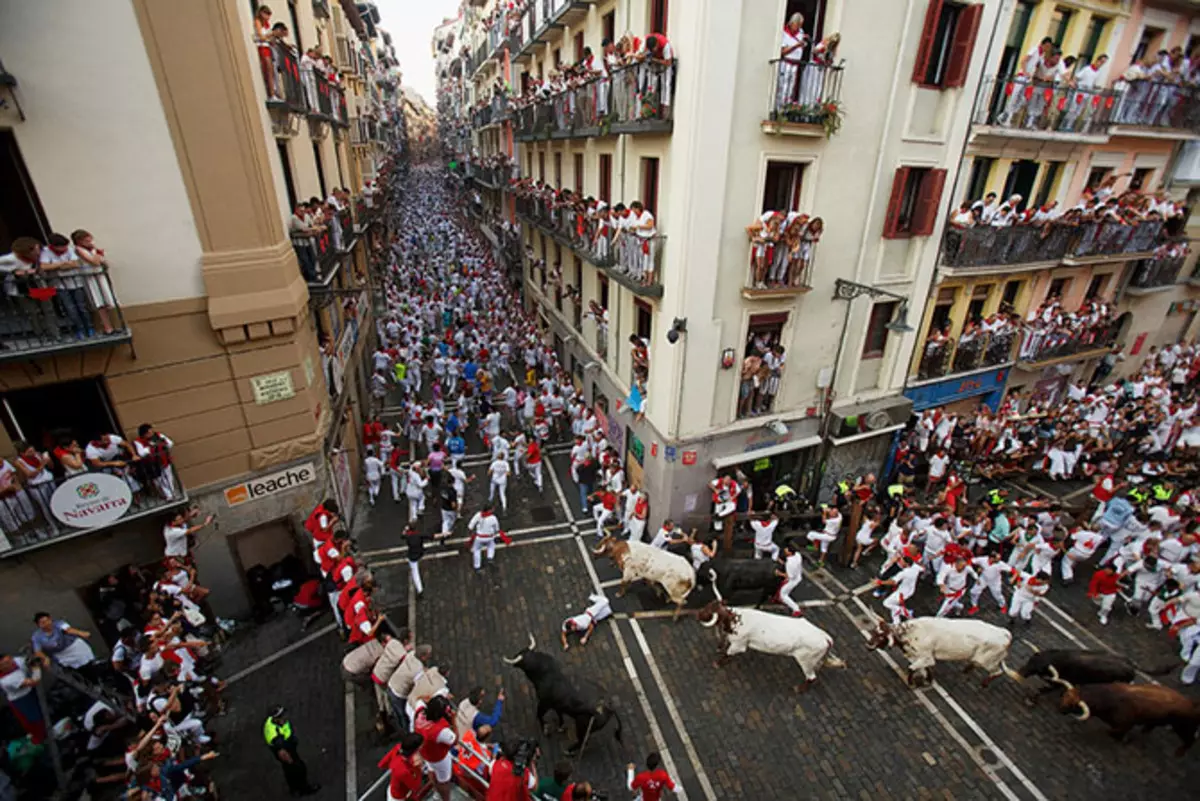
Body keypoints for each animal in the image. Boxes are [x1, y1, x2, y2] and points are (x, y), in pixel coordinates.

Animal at [696, 597, 844, 690]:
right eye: (708, 605)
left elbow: (727, 653)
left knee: (811, 677)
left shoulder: (739, 644)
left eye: (708, 611)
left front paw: (718, 663)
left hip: (805, 661)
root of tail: (825, 637)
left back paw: (798, 689)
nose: (697, 613)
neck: (735, 619)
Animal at [864, 618, 1022, 685]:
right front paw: (929, 679)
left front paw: (911, 683)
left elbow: (912, 668)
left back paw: (983, 683)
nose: (868, 645)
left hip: (988, 661)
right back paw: (967, 669)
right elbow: (925, 668)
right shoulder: (924, 656)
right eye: (874, 631)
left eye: (881, 636)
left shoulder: (926, 656)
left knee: (997, 672)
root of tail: (1005, 633)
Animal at [1060, 681, 1200, 757]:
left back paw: (1179, 752)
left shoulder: (1124, 724)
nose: (1060, 709)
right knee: (1150, 726)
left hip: (1183, 727)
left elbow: (1112, 732)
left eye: (1073, 705)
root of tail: (1192, 703)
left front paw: (1124, 739)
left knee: (1190, 740)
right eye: (1065, 696)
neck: (1109, 697)